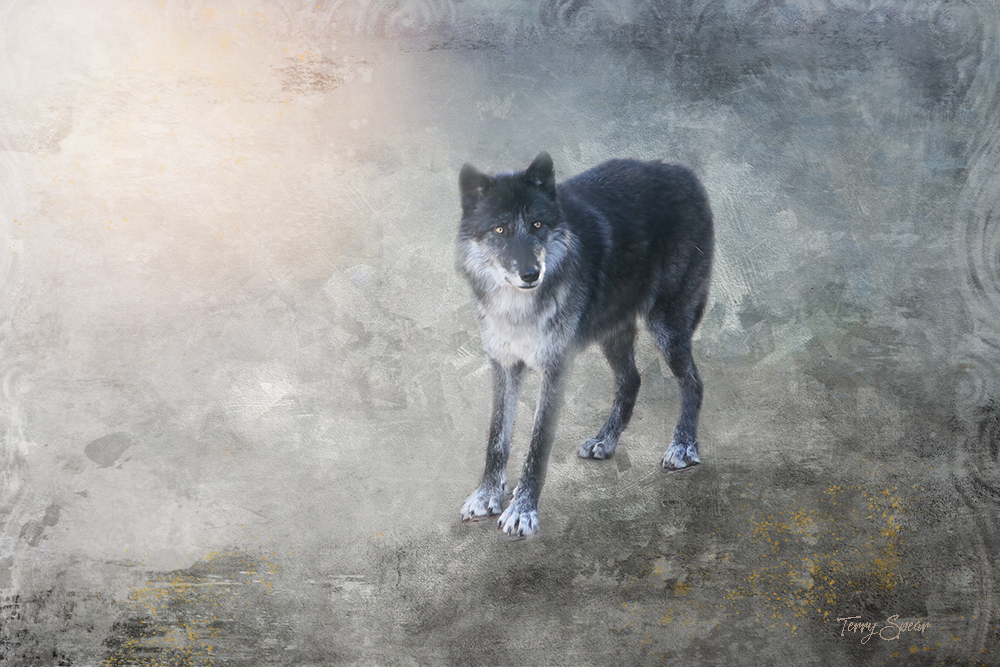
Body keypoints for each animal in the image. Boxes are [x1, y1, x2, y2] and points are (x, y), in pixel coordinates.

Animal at [456, 152, 714, 538]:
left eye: (536, 224)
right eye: (500, 230)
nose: (531, 274)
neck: (518, 308)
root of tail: (682, 171)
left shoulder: (555, 369)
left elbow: (538, 443)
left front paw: (522, 510)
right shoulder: (504, 365)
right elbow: (497, 438)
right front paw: (487, 495)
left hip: (665, 326)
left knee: (692, 382)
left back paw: (682, 446)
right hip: (612, 330)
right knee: (631, 380)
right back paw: (605, 441)